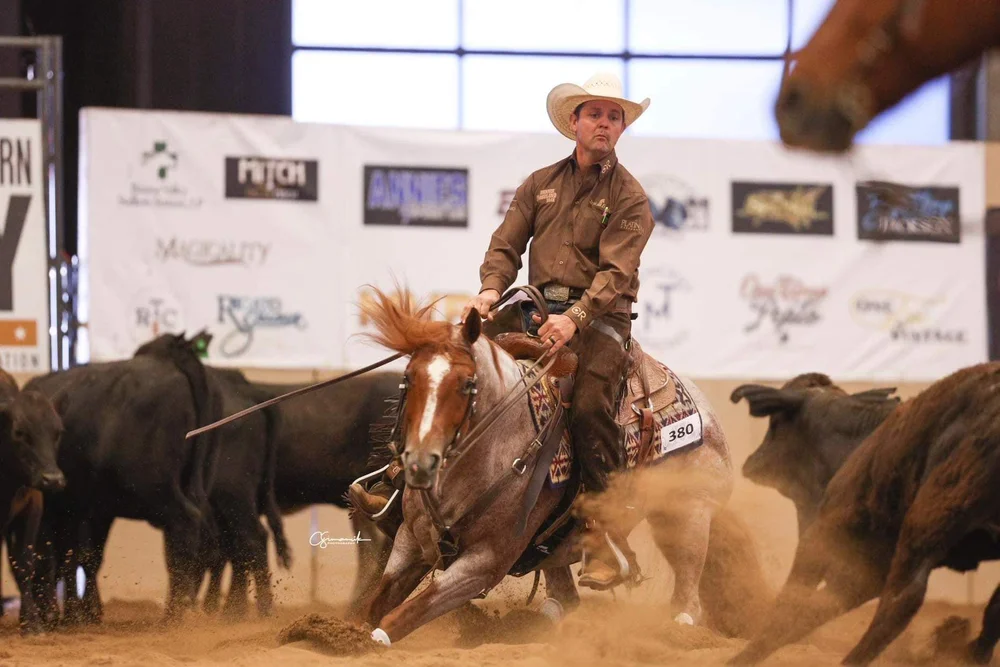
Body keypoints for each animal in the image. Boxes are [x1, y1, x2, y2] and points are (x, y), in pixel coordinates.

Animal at [351, 286, 768, 648]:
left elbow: (398, 619)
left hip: (688, 515)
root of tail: (700, 404)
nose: (420, 464)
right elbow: (373, 608)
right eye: (409, 378)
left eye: (468, 383)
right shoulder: (410, 540)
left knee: (687, 600)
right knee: (566, 598)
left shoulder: (483, 565)